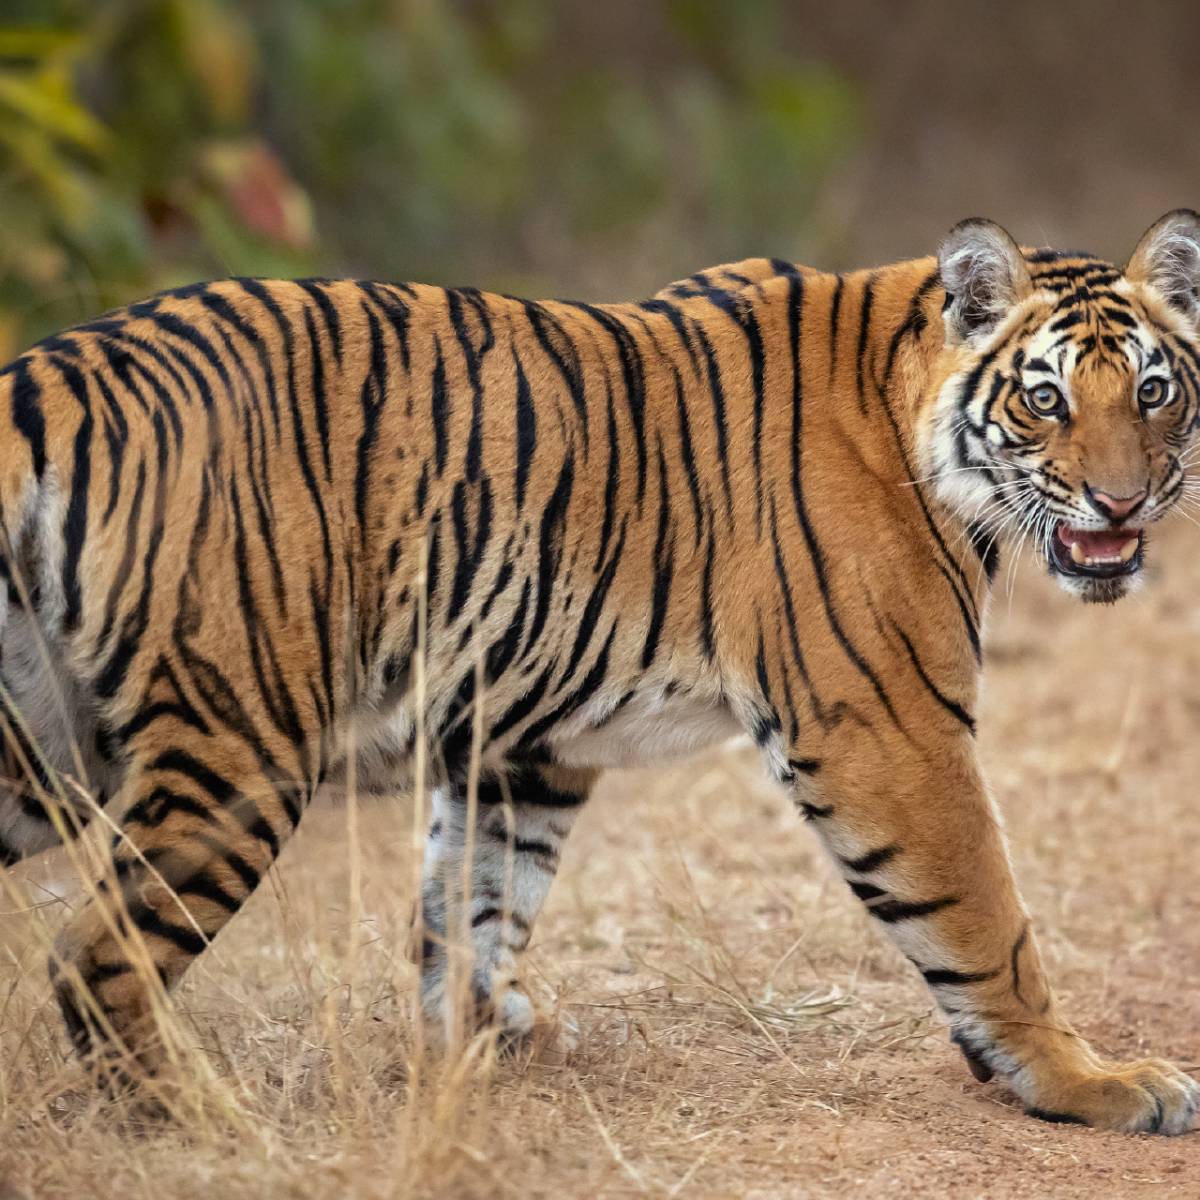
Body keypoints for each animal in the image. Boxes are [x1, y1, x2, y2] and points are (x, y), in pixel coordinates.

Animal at [0, 210, 1198, 1134]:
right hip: (237, 746)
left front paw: (482, 1038)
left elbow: (476, 902)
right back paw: (206, 1120)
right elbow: (987, 919)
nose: (1124, 502)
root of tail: (51, 371)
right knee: (96, 958)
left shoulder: (521, 742)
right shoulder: (888, 727)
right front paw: (1089, 1080)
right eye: (1045, 398)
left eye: (1153, 393)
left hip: (41, 745)